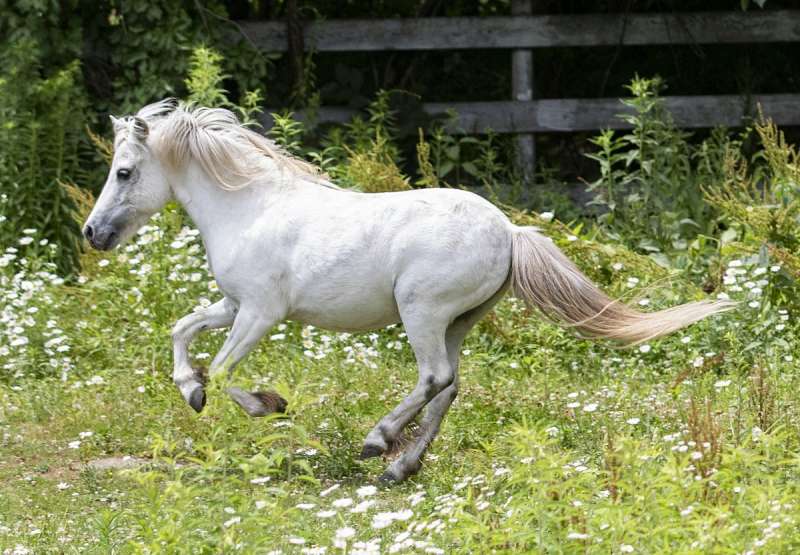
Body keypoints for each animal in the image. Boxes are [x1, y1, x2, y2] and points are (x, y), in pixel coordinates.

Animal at [83, 99, 734, 482]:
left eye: (123, 172)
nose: (93, 234)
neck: (249, 208)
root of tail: (508, 230)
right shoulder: (234, 305)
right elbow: (183, 330)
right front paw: (190, 389)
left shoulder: (261, 313)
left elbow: (223, 372)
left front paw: (264, 403)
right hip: (458, 322)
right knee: (450, 387)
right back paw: (402, 468)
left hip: (422, 312)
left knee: (433, 378)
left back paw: (378, 442)